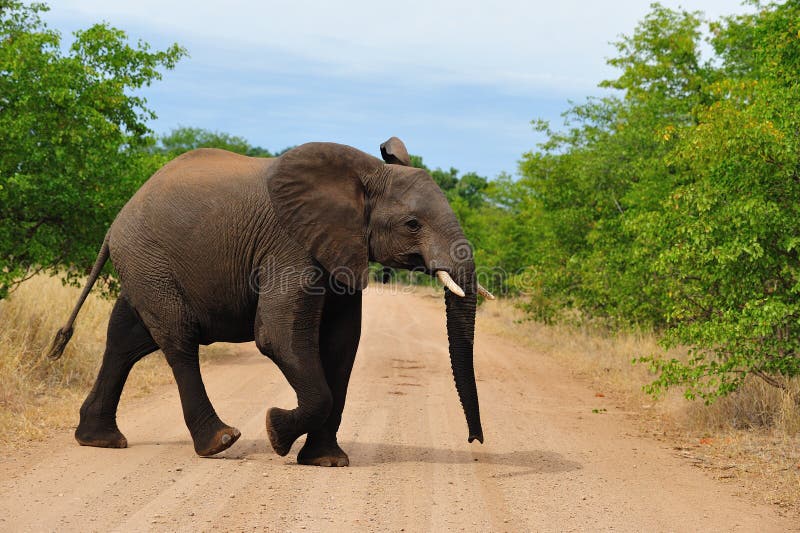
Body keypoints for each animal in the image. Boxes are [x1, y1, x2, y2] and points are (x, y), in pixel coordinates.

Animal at [46, 137, 494, 466]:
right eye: (413, 224)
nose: (475, 440)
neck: (365, 171)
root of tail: (114, 224)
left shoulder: (339, 247)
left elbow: (341, 344)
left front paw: (325, 461)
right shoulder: (291, 245)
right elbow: (277, 336)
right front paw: (276, 432)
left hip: (145, 267)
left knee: (126, 339)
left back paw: (99, 440)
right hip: (149, 260)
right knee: (177, 339)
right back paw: (220, 441)